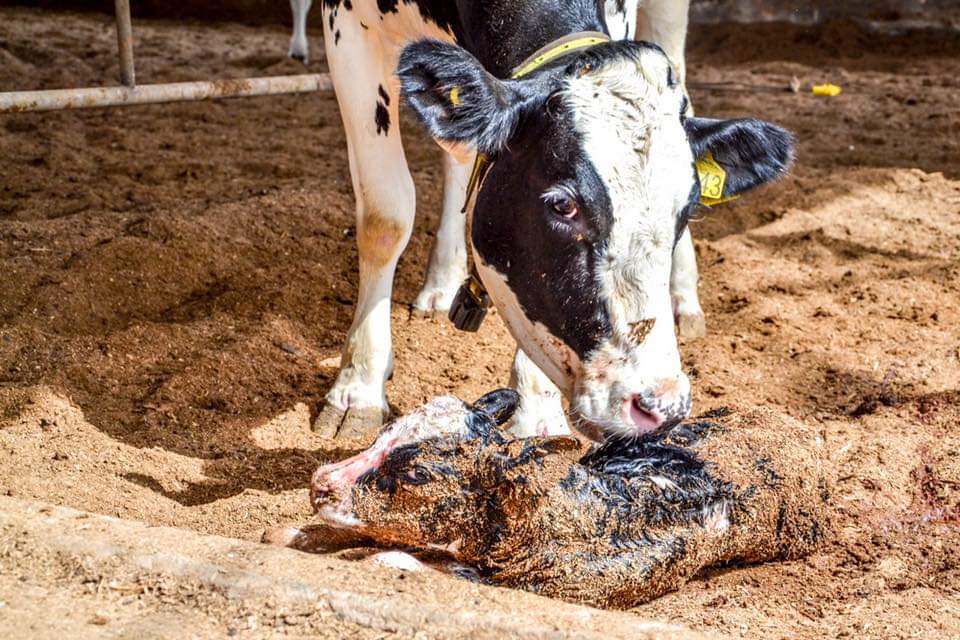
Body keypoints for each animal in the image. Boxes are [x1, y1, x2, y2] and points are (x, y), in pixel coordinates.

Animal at [309, 0, 794, 442]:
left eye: (689, 207)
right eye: (563, 205)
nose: (661, 406)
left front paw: (537, 406)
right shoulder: (347, 28)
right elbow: (386, 217)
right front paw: (359, 387)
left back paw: (683, 296)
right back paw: (442, 282)